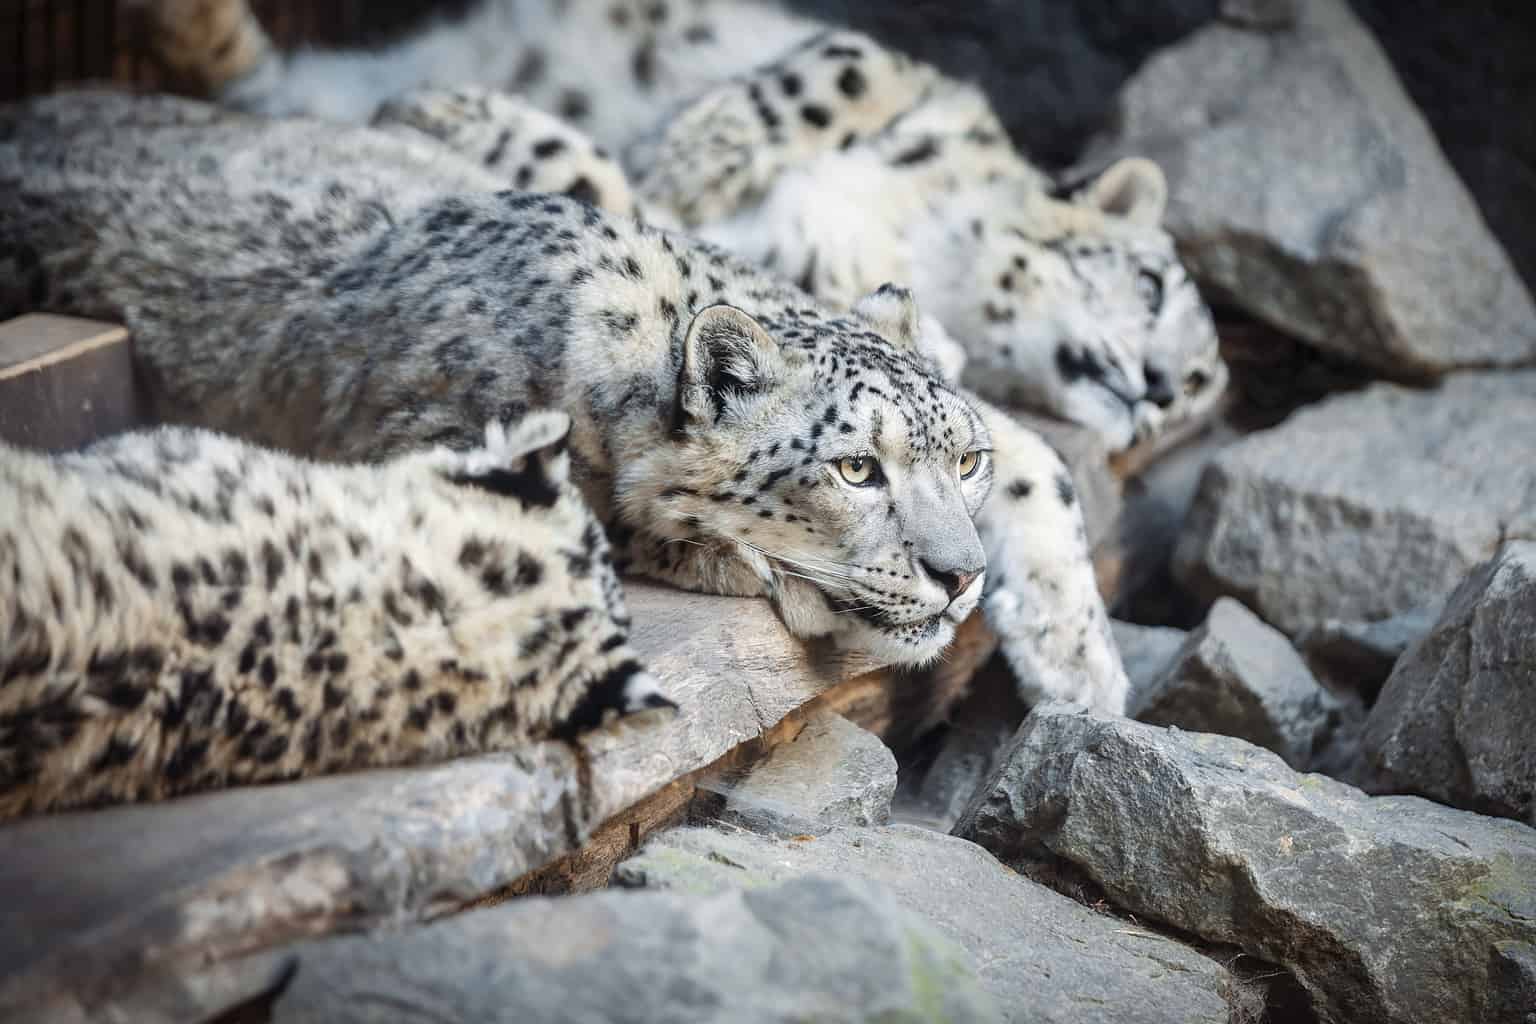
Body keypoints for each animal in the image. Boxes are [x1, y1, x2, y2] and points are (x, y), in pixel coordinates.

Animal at [129, 0, 1228, 452]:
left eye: (1191, 403)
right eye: (1151, 286)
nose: (1156, 390)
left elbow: (609, 186)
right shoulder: (912, 80)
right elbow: (843, 67)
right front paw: (699, 151)